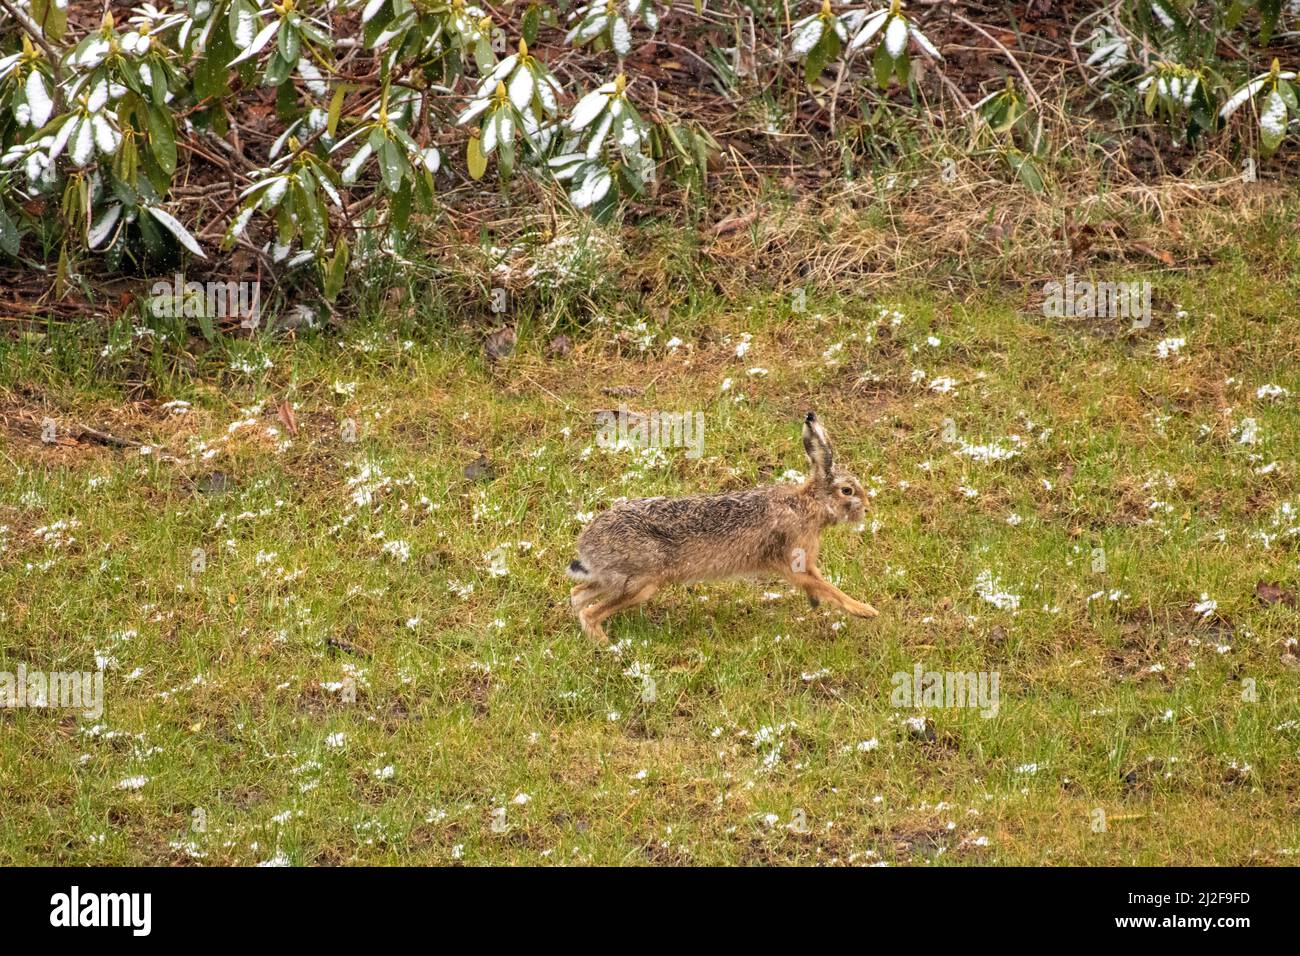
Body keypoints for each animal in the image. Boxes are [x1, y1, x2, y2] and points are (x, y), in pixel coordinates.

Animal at [566, 411, 879, 642]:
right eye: (848, 491)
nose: (866, 509)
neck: (809, 505)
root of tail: (586, 546)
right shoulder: (794, 558)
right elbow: (827, 587)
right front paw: (866, 611)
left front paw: (819, 603)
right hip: (641, 583)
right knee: (590, 613)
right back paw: (609, 647)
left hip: (616, 580)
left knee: (577, 595)